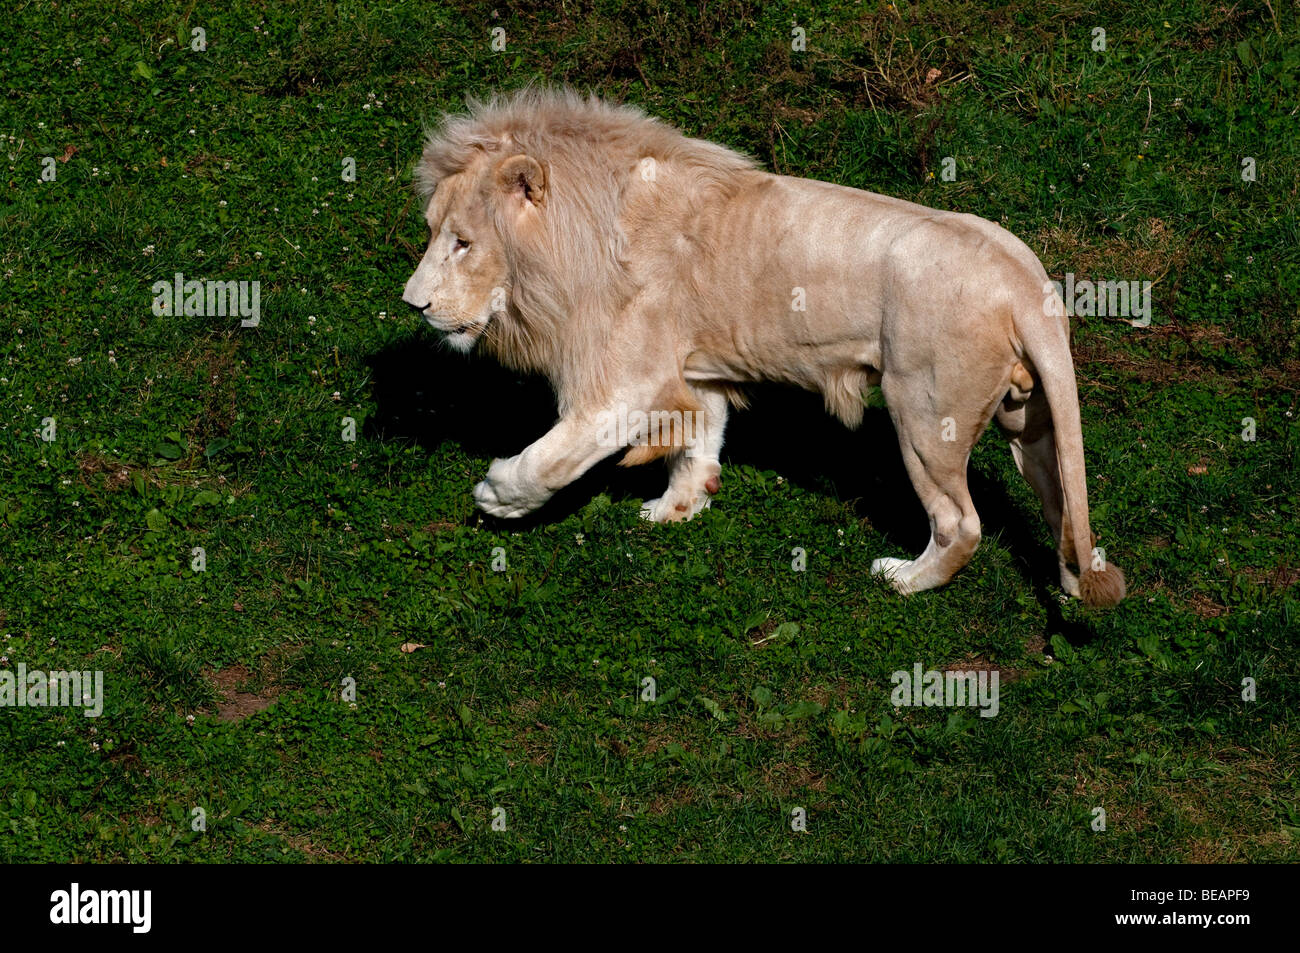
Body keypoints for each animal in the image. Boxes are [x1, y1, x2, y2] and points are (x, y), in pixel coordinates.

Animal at [402, 88, 1126, 607]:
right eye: (435, 232)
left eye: (463, 243)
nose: (414, 304)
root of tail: (1026, 283)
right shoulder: (691, 368)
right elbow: (699, 440)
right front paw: (676, 508)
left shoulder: (626, 381)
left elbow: (554, 456)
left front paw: (498, 494)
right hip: (1030, 421)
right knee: (1061, 499)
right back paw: (1074, 577)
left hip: (924, 413)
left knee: (960, 523)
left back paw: (903, 578)